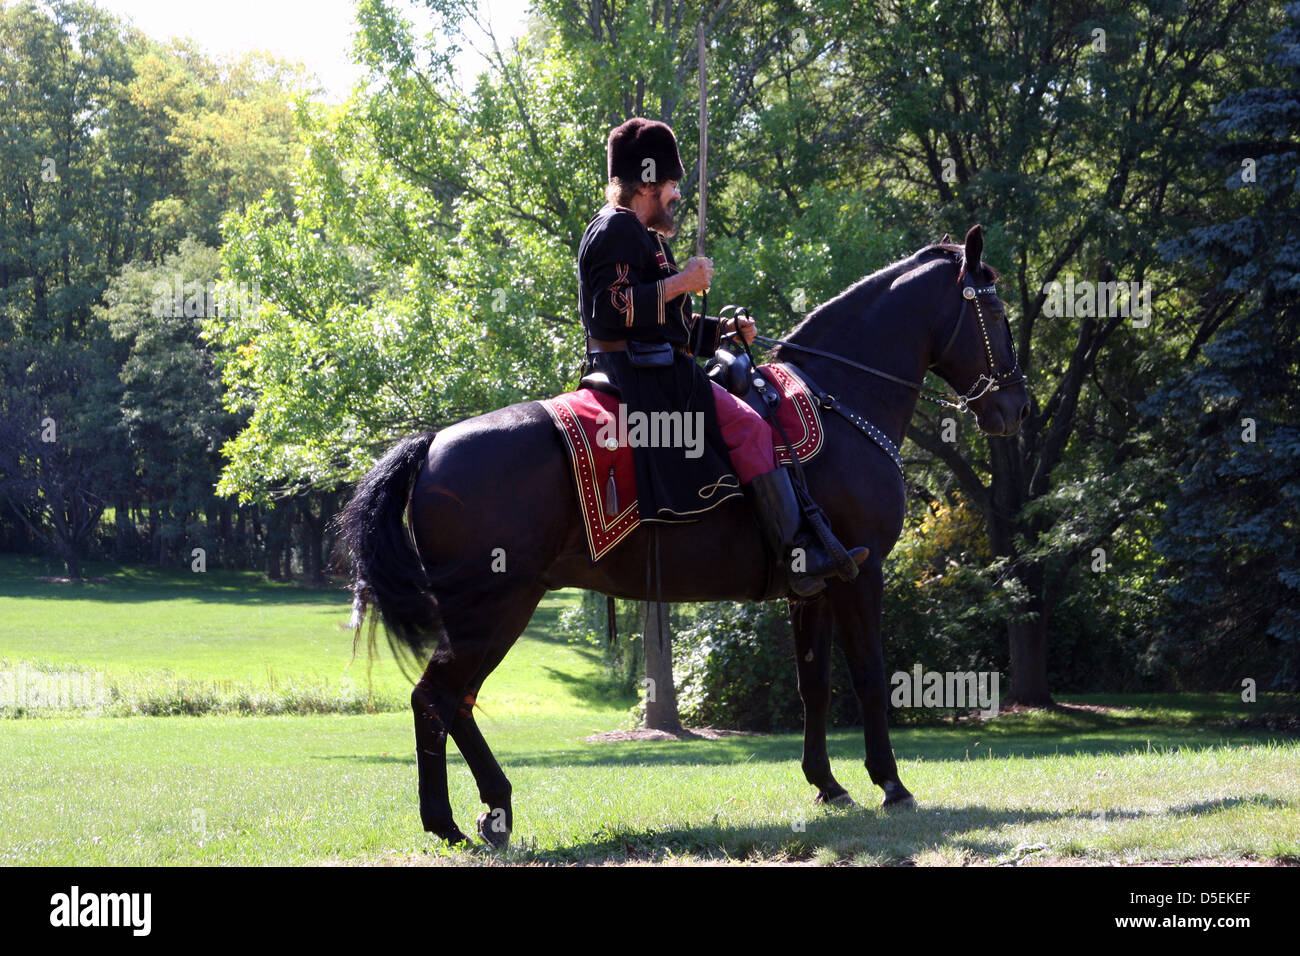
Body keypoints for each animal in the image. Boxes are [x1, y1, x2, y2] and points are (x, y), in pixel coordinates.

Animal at [338, 224, 1030, 847]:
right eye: (996, 312)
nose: (1016, 406)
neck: (842, 401)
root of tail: (433, 445)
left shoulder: (812, 585)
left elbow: (815, 685)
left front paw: (828, 785)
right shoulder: (863, 574)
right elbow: (868, 677)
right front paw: (891, 784)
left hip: (490, 611)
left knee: (451, 702)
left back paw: (478, 813)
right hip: (493, 608)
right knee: (438, 698)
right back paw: (461, 816)